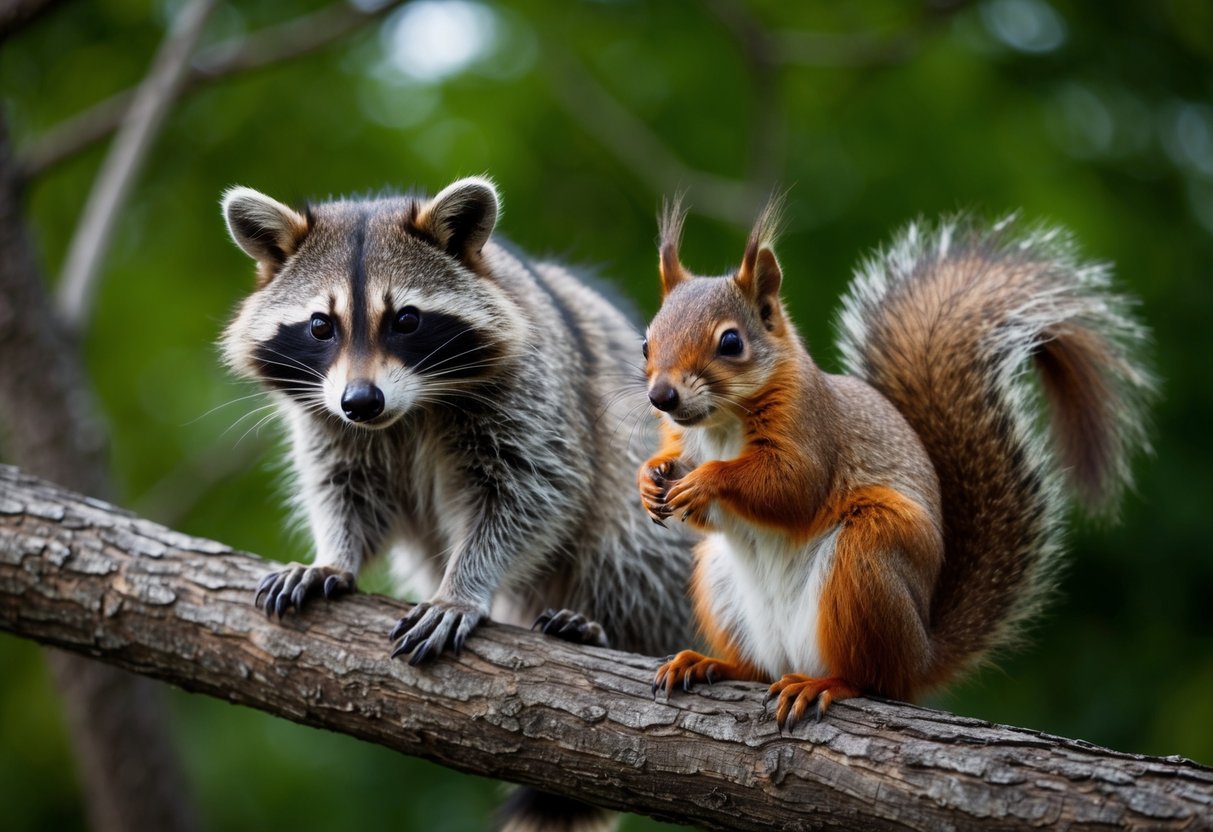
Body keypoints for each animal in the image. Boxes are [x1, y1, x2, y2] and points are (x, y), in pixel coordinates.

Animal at [220, 177, 697, 831]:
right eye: (321, 325)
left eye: (406, 320)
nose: (361, 401)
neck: (408, 409)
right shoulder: (329, 418)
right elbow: (344, 489)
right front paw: (334, 554)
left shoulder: (535, 392)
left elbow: (533, 493)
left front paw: (463, 585)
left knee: (634, 547)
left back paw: (608, 631)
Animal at [639, 198, 1154, 728]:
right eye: (646, 343)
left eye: (731, 343)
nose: (662, 396)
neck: (720, 424)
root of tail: (921, 652)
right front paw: (650, 480)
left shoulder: (811, 430)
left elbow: (791, 487)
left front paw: (706, 480)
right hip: (723, 582)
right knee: (759, 669)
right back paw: (708, 663)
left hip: (867, 559)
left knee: (871, 679)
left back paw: (822, 684)